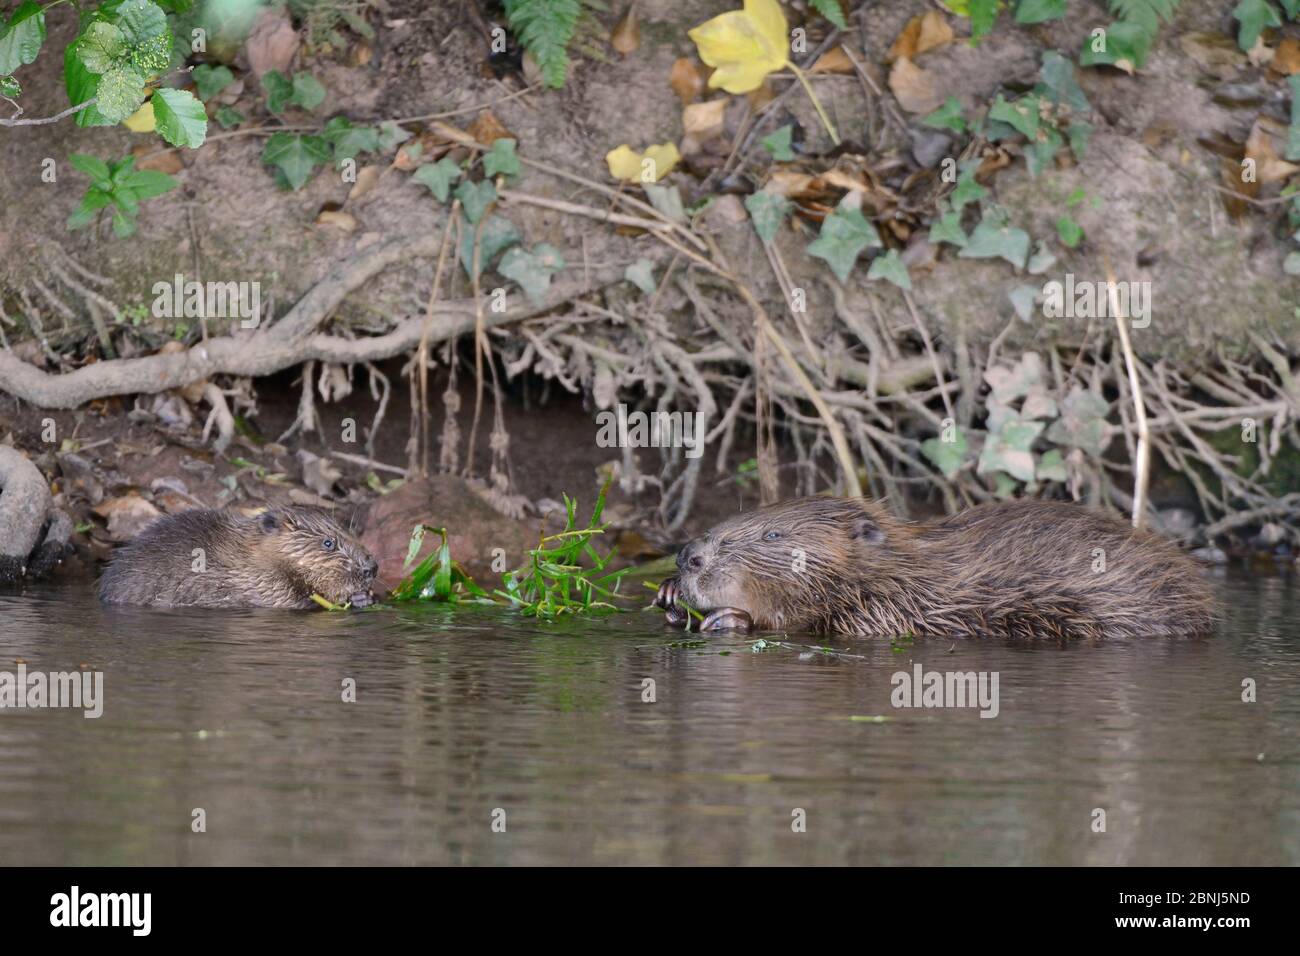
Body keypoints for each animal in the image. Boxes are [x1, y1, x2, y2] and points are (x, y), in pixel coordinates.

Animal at [98, 507, 379, 609]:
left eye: (349, 532)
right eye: (328, 543)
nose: (372, 567)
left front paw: (367, 597)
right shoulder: (257, 583)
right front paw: (356, 598)